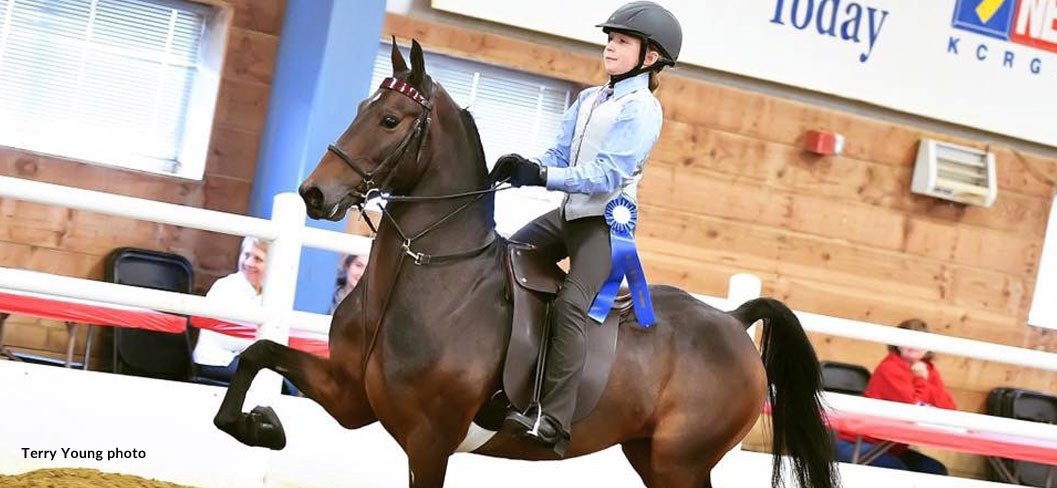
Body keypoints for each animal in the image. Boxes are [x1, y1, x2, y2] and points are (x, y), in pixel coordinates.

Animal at [214, 39, 840, 488]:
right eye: (363, 108)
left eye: (391, 121)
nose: (314, 193)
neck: (427, 277)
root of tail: (733, 322)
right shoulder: (350, 396)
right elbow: (258, 353)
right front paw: (260, 425)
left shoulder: (430, 440)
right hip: (653, 457)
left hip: (679, 462)